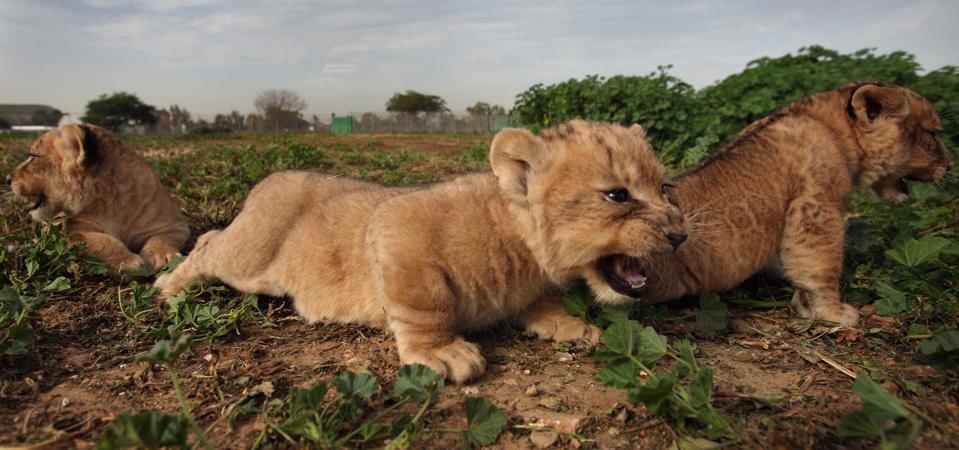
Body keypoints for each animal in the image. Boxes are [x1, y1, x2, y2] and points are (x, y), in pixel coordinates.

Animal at [7, 124, 189, 272]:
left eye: (34, 157)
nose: (7, 179)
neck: (114, 201)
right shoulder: (70, 234)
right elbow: (101, 241)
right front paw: (129, 262)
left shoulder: (174, 225)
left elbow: (163, 238)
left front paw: (161, 256)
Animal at [155, 120, 687, 382]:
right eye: (617, 195)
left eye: (665, 189)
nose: (681, 234)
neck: (523, 248)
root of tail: (268, 179)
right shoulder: (397, 229)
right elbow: (427, 304)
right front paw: (442, 353)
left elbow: (543, 303)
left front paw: (569, 325)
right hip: (249, 259)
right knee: (207, 244)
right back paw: (168, 283)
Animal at [641, 82, 953, 326]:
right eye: (933, 134)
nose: (950, 165)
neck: (830, 126)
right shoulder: (815, 207)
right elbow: (821, 264)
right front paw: (832, 312)